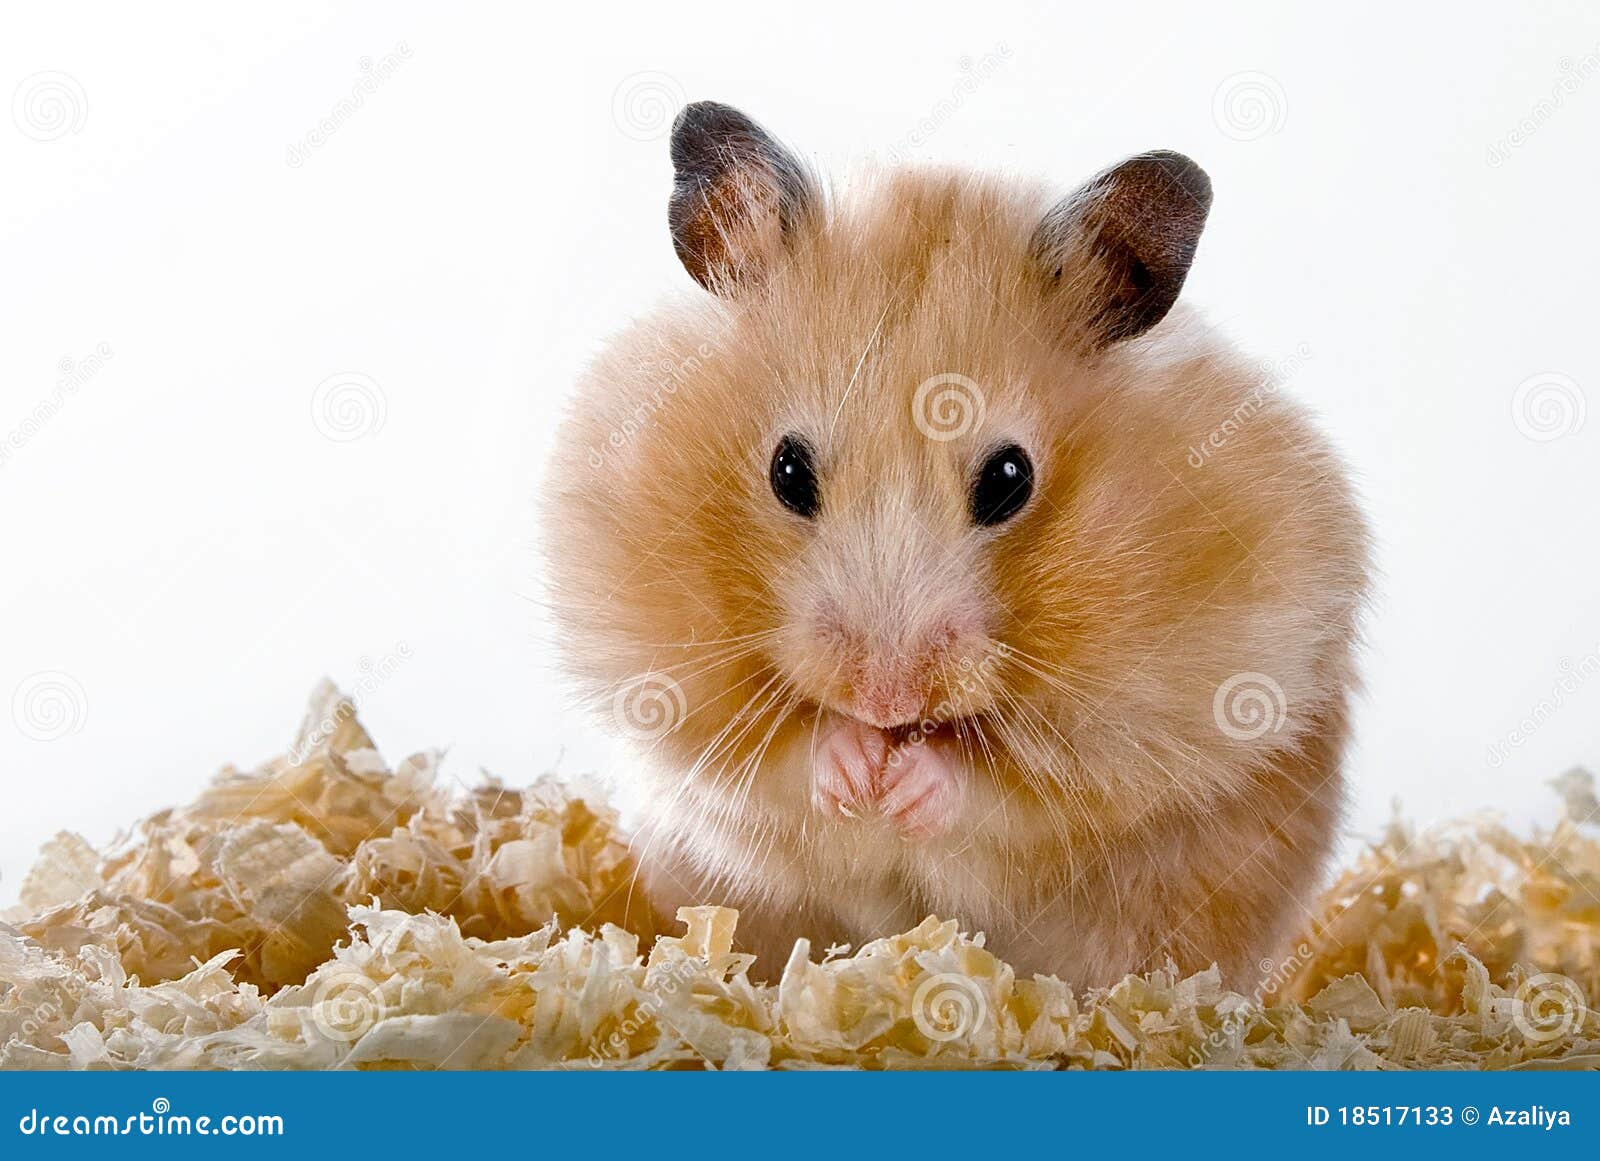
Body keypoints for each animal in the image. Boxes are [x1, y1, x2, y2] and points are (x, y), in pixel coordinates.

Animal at [543, 101, 1370, 988]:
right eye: (786, 470)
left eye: (1010, 477)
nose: (887, 700)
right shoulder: (666, 677)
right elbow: (773, 748)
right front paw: (856, 771)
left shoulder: (1173, 709)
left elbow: (1016, 783)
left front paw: (903, 782)